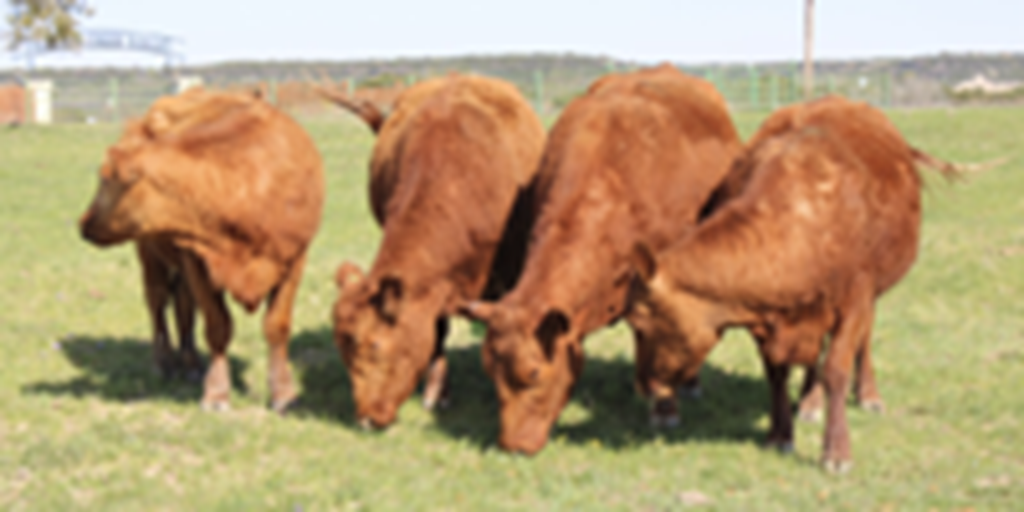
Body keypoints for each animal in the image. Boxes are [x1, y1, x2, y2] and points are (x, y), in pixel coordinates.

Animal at [79, 88, 325, 412]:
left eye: (105, 178)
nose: (83, 222)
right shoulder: (196, 262)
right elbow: (217, 326)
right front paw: (217, 394)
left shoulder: (295, 260)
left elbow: (276, 326)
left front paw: (283, 393)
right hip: (151, 257)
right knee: (158, 303)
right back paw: (164, 362)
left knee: (183, 307)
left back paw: (192, 363)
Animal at [626, 95, 964, 472]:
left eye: (638, 321)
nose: (642, 385)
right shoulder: (765, 317)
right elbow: (778, 373)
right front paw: (780, 434)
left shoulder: (854, 300)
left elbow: (836, 369)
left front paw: (837, 451)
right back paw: (810, 401)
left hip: (873, 292)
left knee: (864, 340)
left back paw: (867, 394)